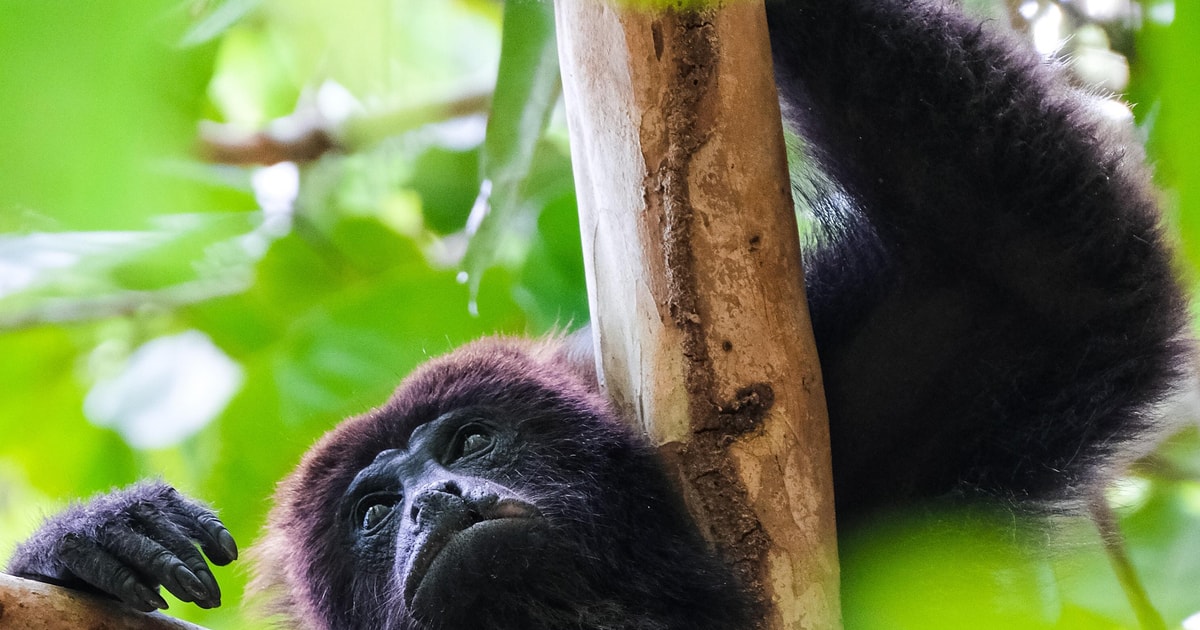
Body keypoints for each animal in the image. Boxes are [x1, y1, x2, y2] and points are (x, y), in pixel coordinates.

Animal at [6, 0, 1190, 628]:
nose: (436, 499)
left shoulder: (887, 436)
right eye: (375, 511)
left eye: (470, 442)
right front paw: (91, 540)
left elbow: (1041, 275)